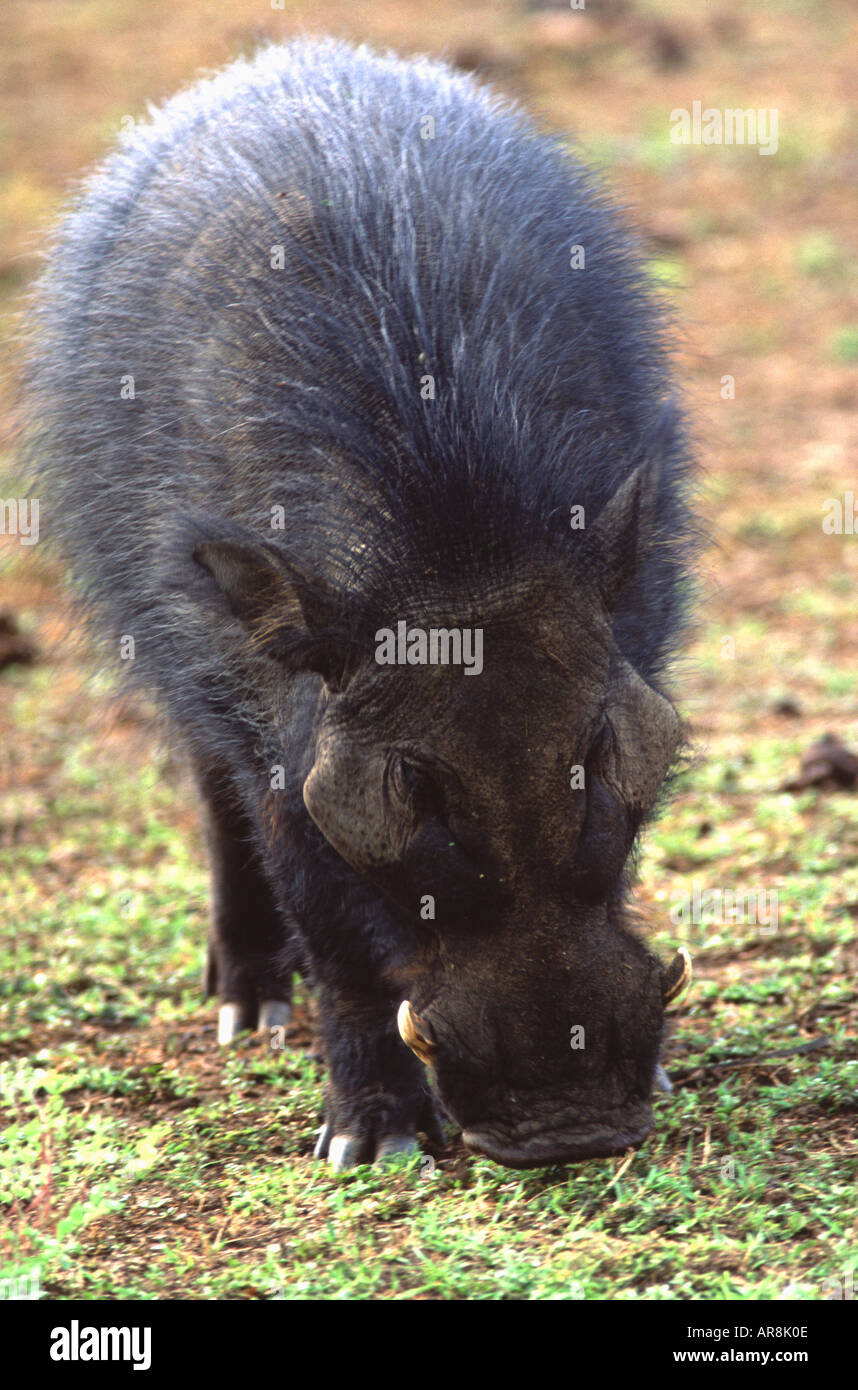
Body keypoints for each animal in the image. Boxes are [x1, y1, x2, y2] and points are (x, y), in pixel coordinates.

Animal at [25, 37, 695, 1169]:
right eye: (410, 785)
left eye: (598, 750)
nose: (574, 1130)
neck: (453, 541)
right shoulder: (273, 739)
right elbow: (329, 930)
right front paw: (373, 1140)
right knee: (212, 801)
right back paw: (248, 1002)